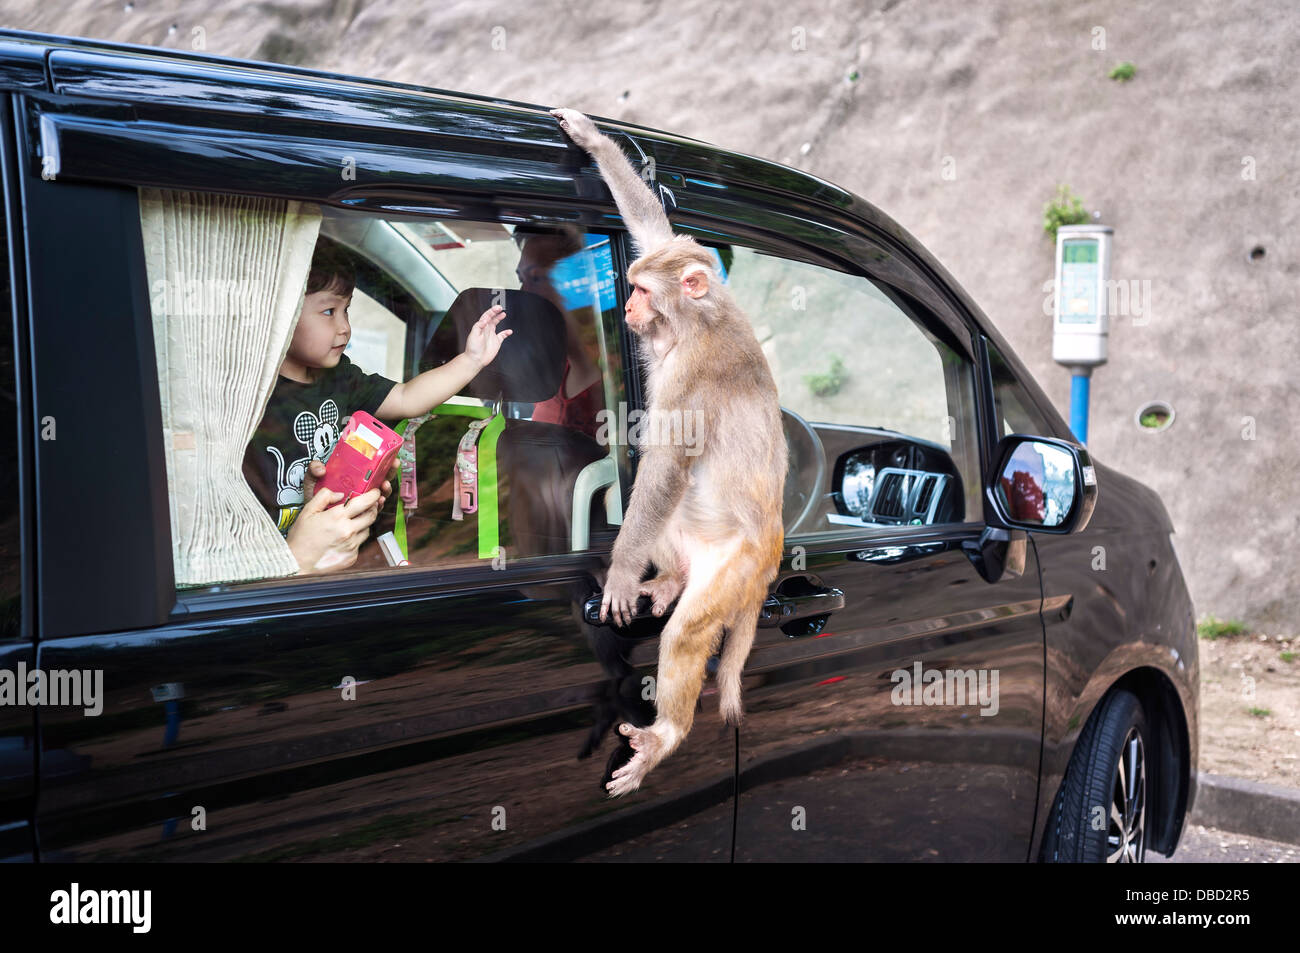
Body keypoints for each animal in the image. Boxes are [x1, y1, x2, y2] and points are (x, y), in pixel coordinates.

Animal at [550, 107, 787, 798]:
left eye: (642, 292)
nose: (627, 304)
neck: (694, 321)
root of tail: (773, 552)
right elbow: (648, 222)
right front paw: (593, 139)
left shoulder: (692, 376)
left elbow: (666, 464)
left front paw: (622, 573)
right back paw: (673, 578)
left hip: (737, 571)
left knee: (686, 632)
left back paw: (665, 736)